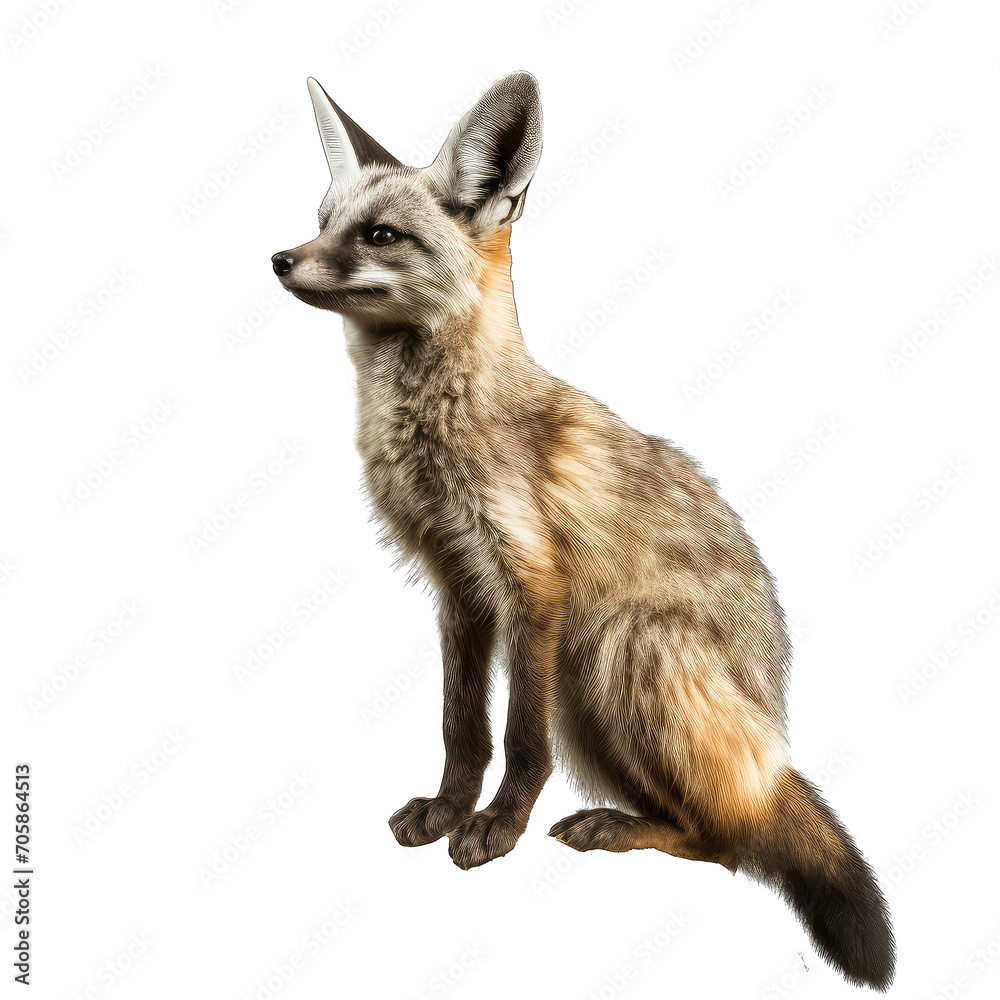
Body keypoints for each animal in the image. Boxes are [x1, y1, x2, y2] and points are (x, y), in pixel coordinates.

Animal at [271, 72, 895, 990]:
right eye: (321, 219)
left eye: (379, 235)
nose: (279, 258)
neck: (440, 433)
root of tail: (772, 754)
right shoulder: (458, 582)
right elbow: (463, 727)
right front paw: (448, 808)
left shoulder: (532, 582)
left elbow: (517, 740)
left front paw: (497, 828)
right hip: (591, 703)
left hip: (616, 647)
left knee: (731, 844)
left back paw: (616, 829)